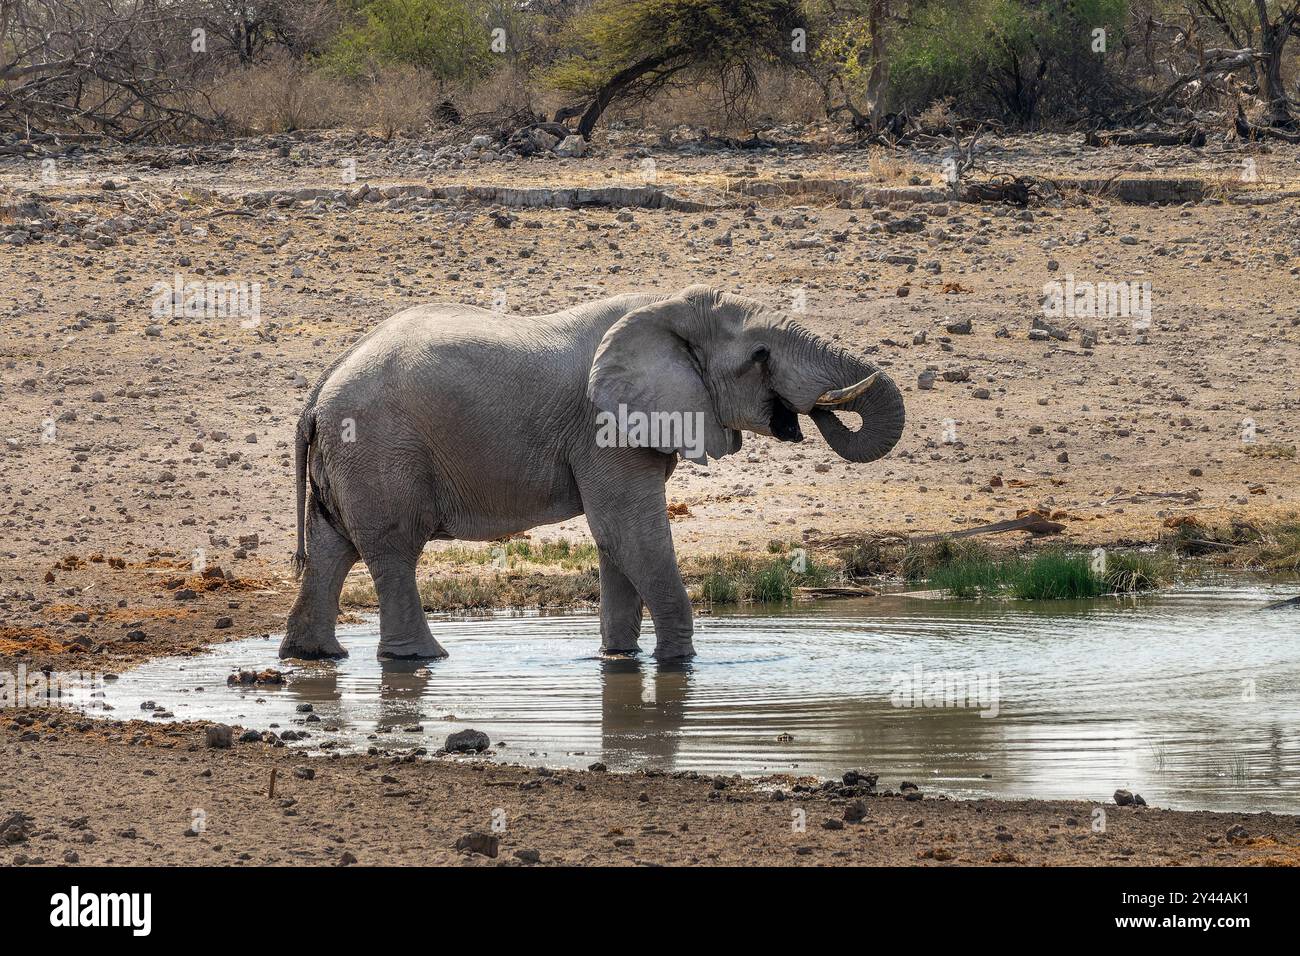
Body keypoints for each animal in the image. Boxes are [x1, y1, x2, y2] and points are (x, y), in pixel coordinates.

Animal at [281, 284, 906, 662]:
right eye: (759, 357)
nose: (809, 413)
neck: (666, 307)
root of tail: (319, 389)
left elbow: (615, 540)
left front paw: (620, 661)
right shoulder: (602, 428)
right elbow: (629, 533)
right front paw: (679, 664)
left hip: (350, 457)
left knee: (334, 548)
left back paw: (315, 657)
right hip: (380, 450)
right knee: (392, 549)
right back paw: (419, 658)